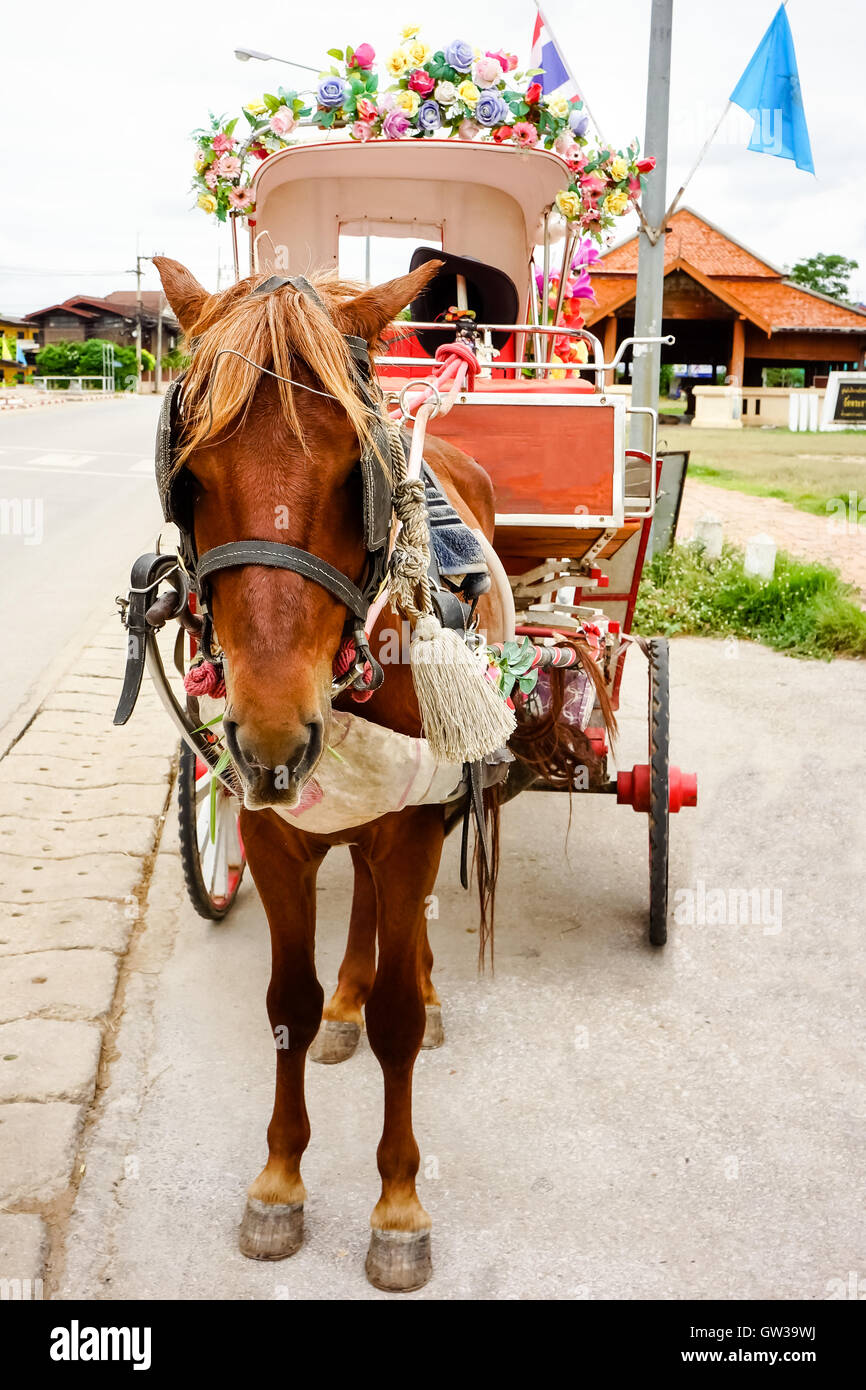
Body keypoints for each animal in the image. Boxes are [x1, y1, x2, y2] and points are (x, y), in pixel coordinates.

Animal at [152, 255, 610, 1292]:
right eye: (189, 475)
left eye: (351, 471)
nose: (272, 740)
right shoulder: (271, 830)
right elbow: (285, 1004)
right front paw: (279, 1182)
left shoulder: (408, 822)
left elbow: (399, 1019)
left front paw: (398, 1205)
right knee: (355, 890)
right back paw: (345, 1003)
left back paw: (417, 992)